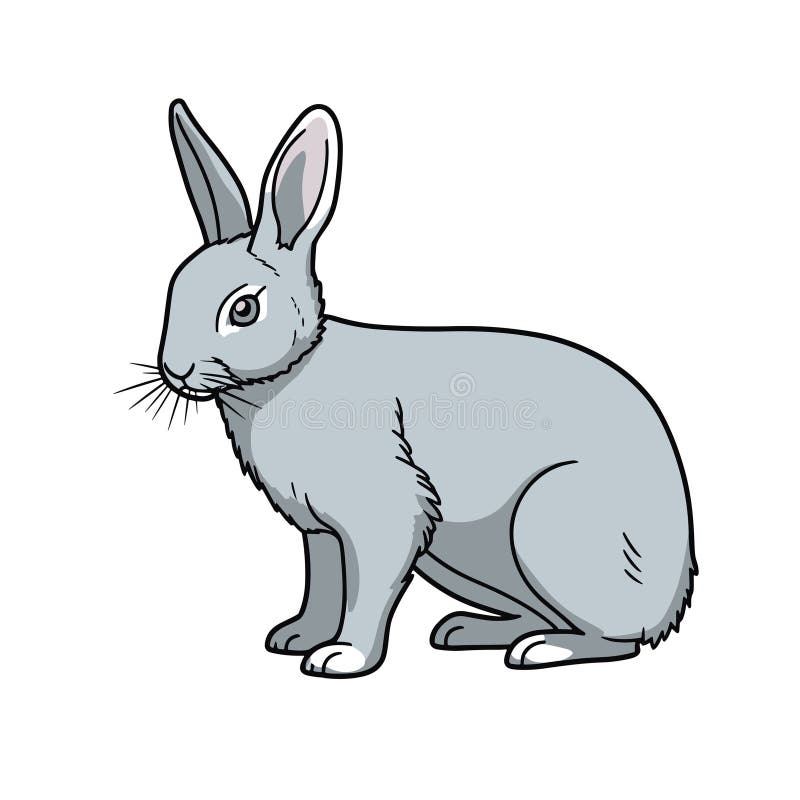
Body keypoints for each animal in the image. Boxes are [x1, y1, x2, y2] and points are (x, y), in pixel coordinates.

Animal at [141, 99, 696, 678]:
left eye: (244, 309)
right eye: (174, 291)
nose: (174, 370)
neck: (292, 372)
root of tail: (672, 600)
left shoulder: (381, 512)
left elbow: (366, 590)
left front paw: (340, 657)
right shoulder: (321, 534)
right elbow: (324, 584)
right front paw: (296, 638)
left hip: (547, 523)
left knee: (617, 639)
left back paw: (544, 648)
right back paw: (468, 630)